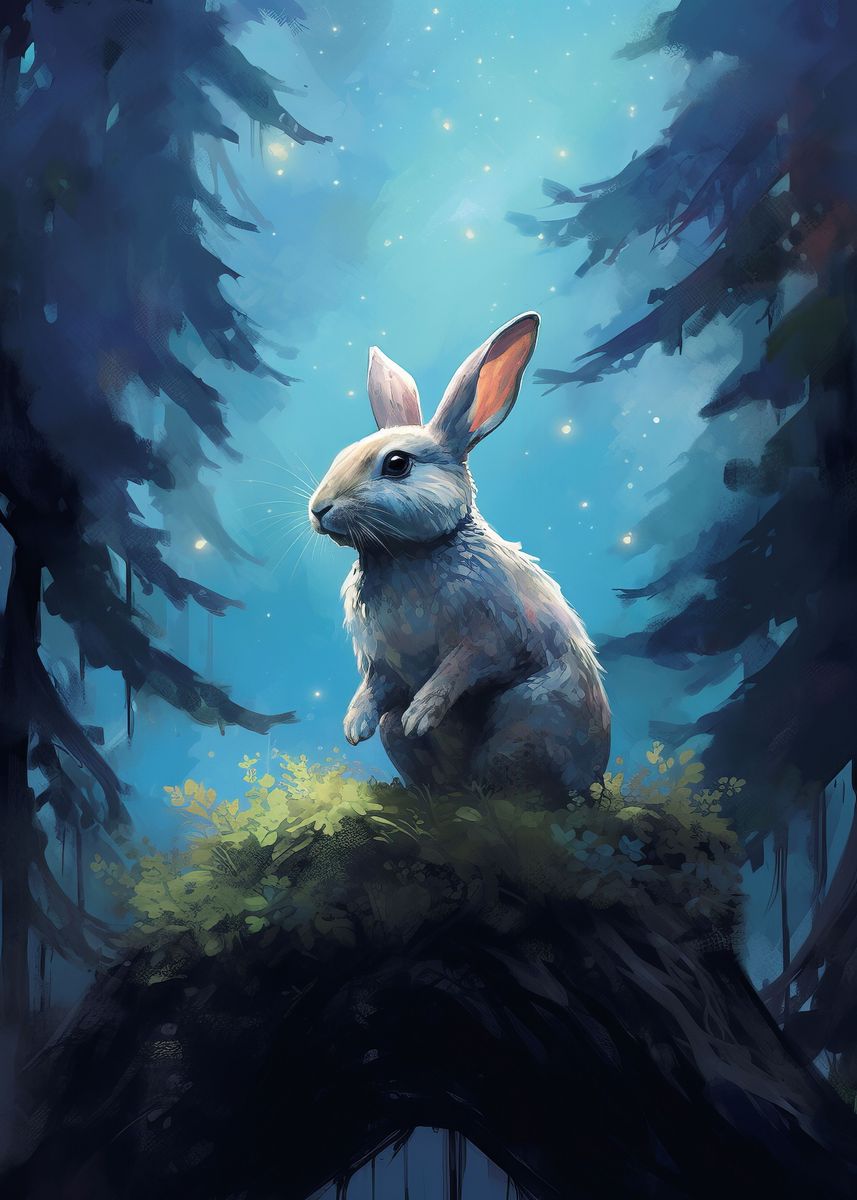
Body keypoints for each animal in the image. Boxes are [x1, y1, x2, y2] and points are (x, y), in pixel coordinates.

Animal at [308, 312, 610, 799]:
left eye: (397, 464)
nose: (319, 510)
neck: (404, 553)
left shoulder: (492, 636)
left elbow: (458, 668)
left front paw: (421, 714)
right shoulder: (382, 664)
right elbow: (374, 687)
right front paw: (354, 726)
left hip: (529, 719)